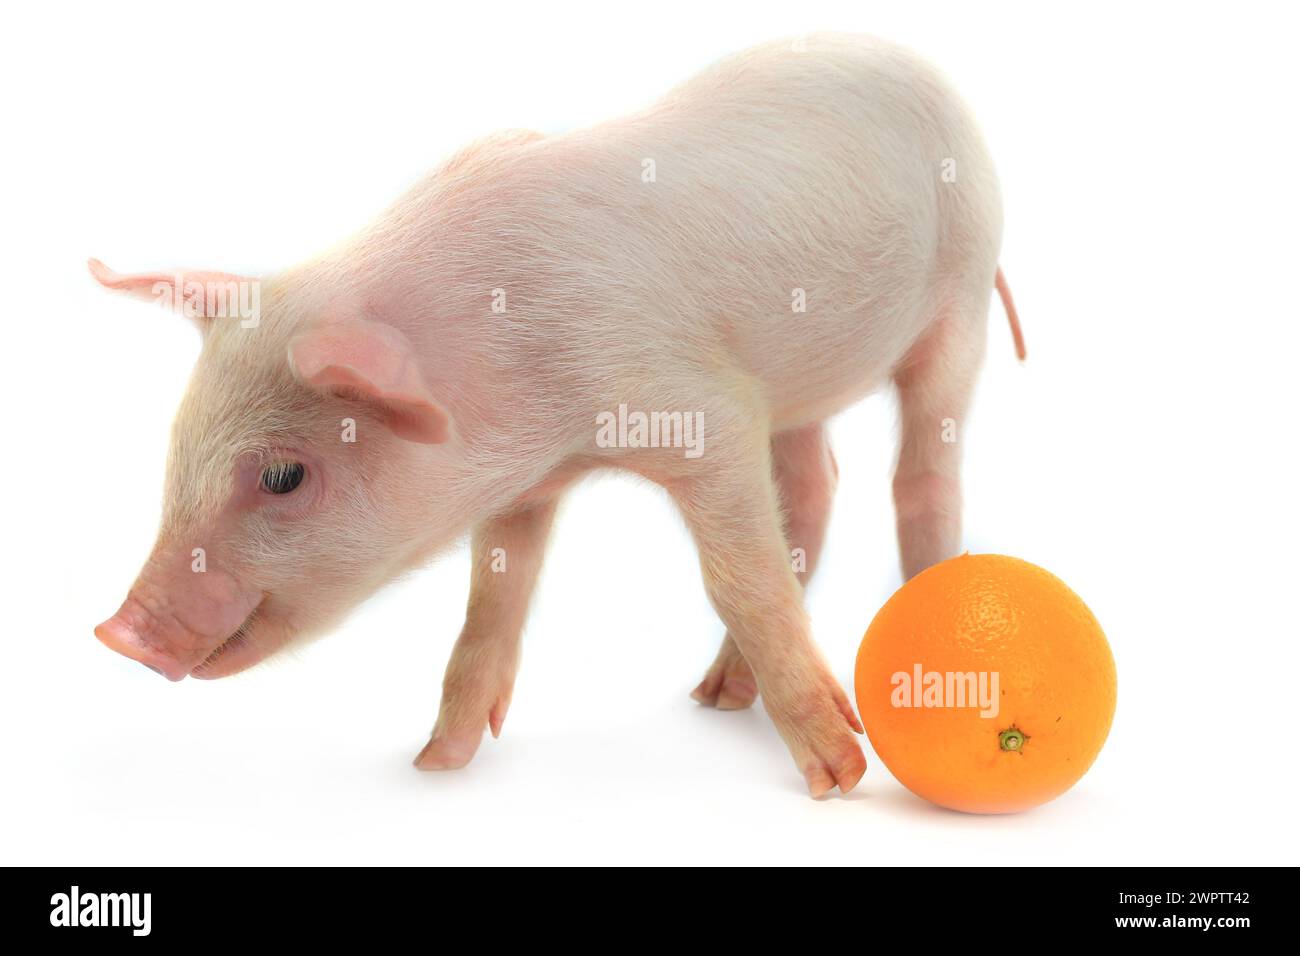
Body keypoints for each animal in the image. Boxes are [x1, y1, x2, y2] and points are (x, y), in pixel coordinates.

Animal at [91, 33, 1023, 797]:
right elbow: (492, 599)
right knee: (814, 485)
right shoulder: (526, 483)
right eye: (176, 446)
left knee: (923, 472)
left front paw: (840, 778)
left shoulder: (703, 408)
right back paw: (718, 699)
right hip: (801, 383)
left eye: (285, 476)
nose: (117, 634)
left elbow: (739, 580)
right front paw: (435, 765)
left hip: (965, 287)